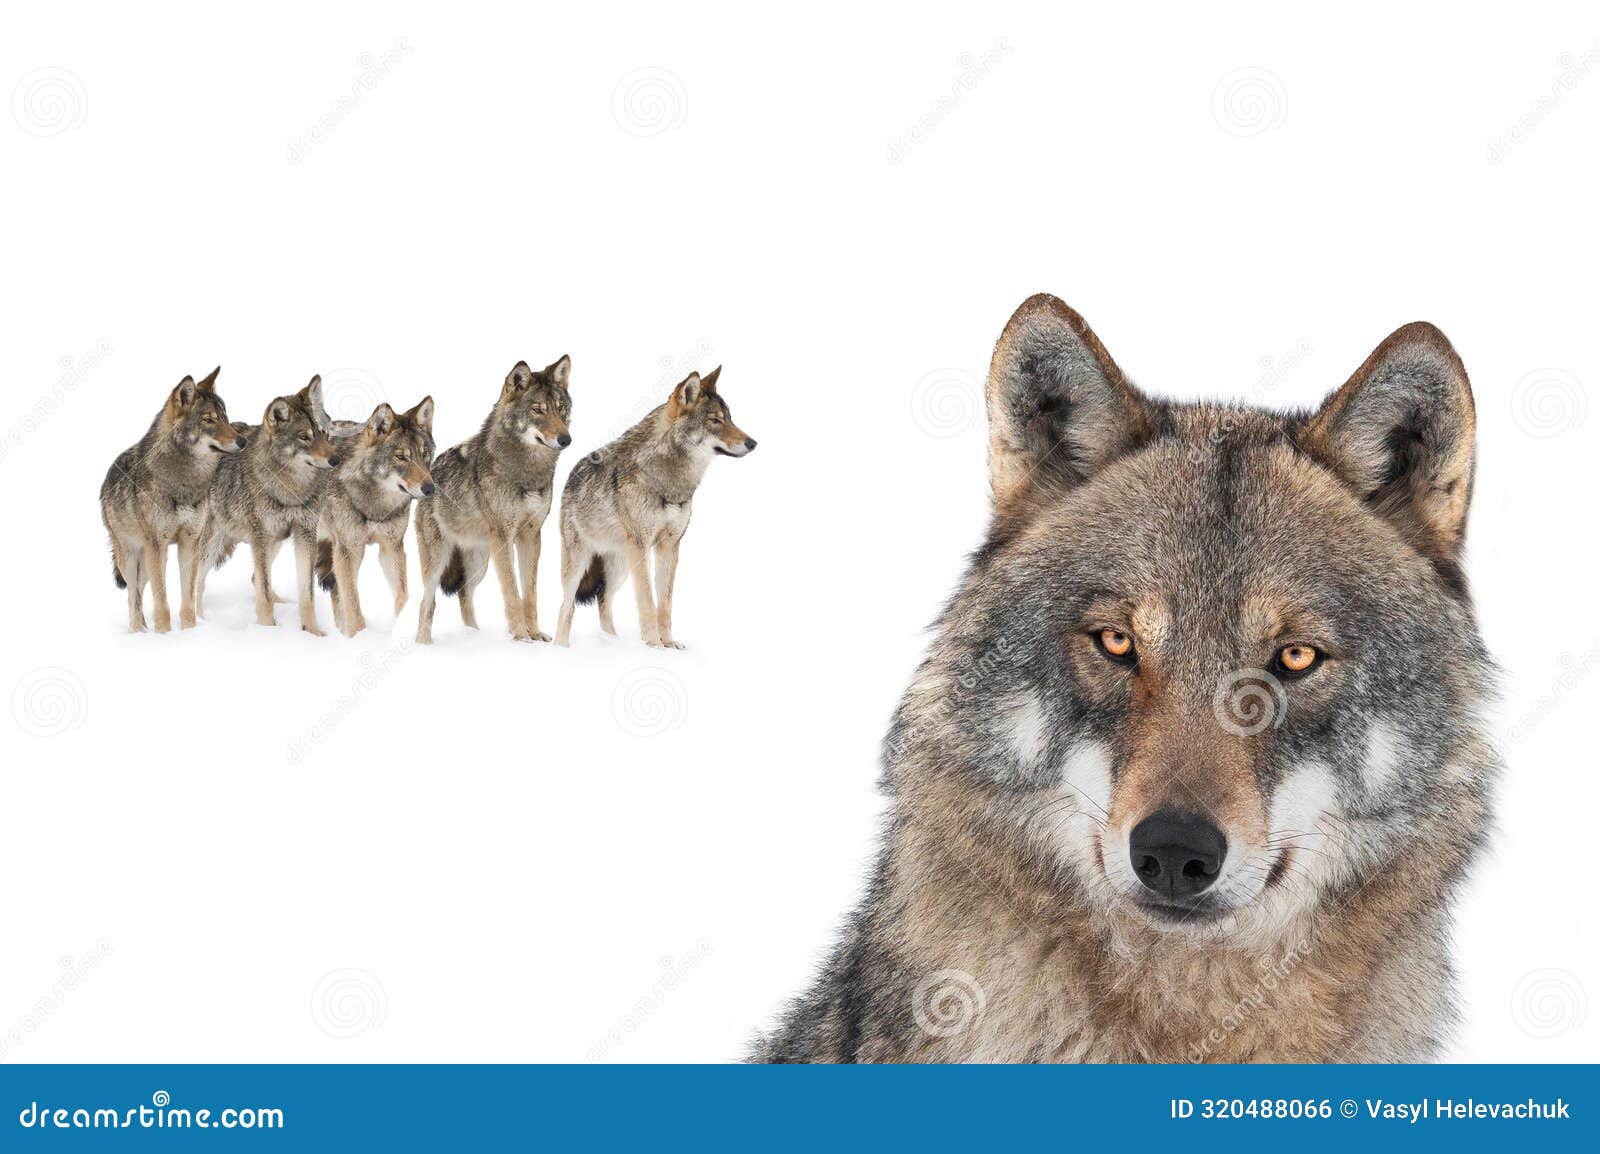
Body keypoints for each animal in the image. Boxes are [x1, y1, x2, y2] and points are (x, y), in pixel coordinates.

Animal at [100, 367, 247, 632]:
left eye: (225, 417)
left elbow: (188, 596)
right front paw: (164, 633)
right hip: (132, 558)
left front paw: (188, 630)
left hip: (146, 561)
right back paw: (138, 631)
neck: (185, 482)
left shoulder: (191, 541)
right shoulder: (157, 545)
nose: (243, 441)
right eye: (208, 420)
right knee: (133, 597)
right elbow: (161, 599)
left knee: (139, 593)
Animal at [191, 376, 342, 634]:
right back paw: (201, 620)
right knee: (196, 583)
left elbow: (307, 594)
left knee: (256, 578)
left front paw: (312, 632)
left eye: (323, 433)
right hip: (213, 544)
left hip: (275, 540)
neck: (292, 488)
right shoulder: (261, 536)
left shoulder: (305, 533)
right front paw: (267, 630)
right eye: (304, 437)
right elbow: (263, 594)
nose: (335, 460)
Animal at [312, 398, 437, 637]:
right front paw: (359, 637)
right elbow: (352, 603)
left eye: (425, 453)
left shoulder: (391, 548)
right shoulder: (349, 551)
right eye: (401, 457)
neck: (375, 504)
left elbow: (402, 595)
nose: (430, 489)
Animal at [414, 357, 573, 644]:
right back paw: (425, 644)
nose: (565, 439)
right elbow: (512, 591)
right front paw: (521, 637)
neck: (527, 472)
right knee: (426, 603)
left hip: (481, 562)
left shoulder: (531, 534)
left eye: (560, 408)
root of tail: (428, 476)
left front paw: (534, 634)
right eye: (537, 410)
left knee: (464, 594)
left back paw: (473, 635)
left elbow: (529, 593)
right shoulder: (503, 535)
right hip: (438, 563)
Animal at [553, 367, 756, 648]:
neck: (670, 480)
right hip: (580, 564)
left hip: (619, 569)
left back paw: (611, 641)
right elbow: (647, 601)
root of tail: (571, 474)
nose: (753, 443)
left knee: (603, 600)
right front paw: (653, 645)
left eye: (730, 419)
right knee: (566, 606)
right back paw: (561, 646)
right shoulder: (641, 545)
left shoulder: (669, 546)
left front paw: (669, 644)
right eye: (715, 421)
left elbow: (665, 603)